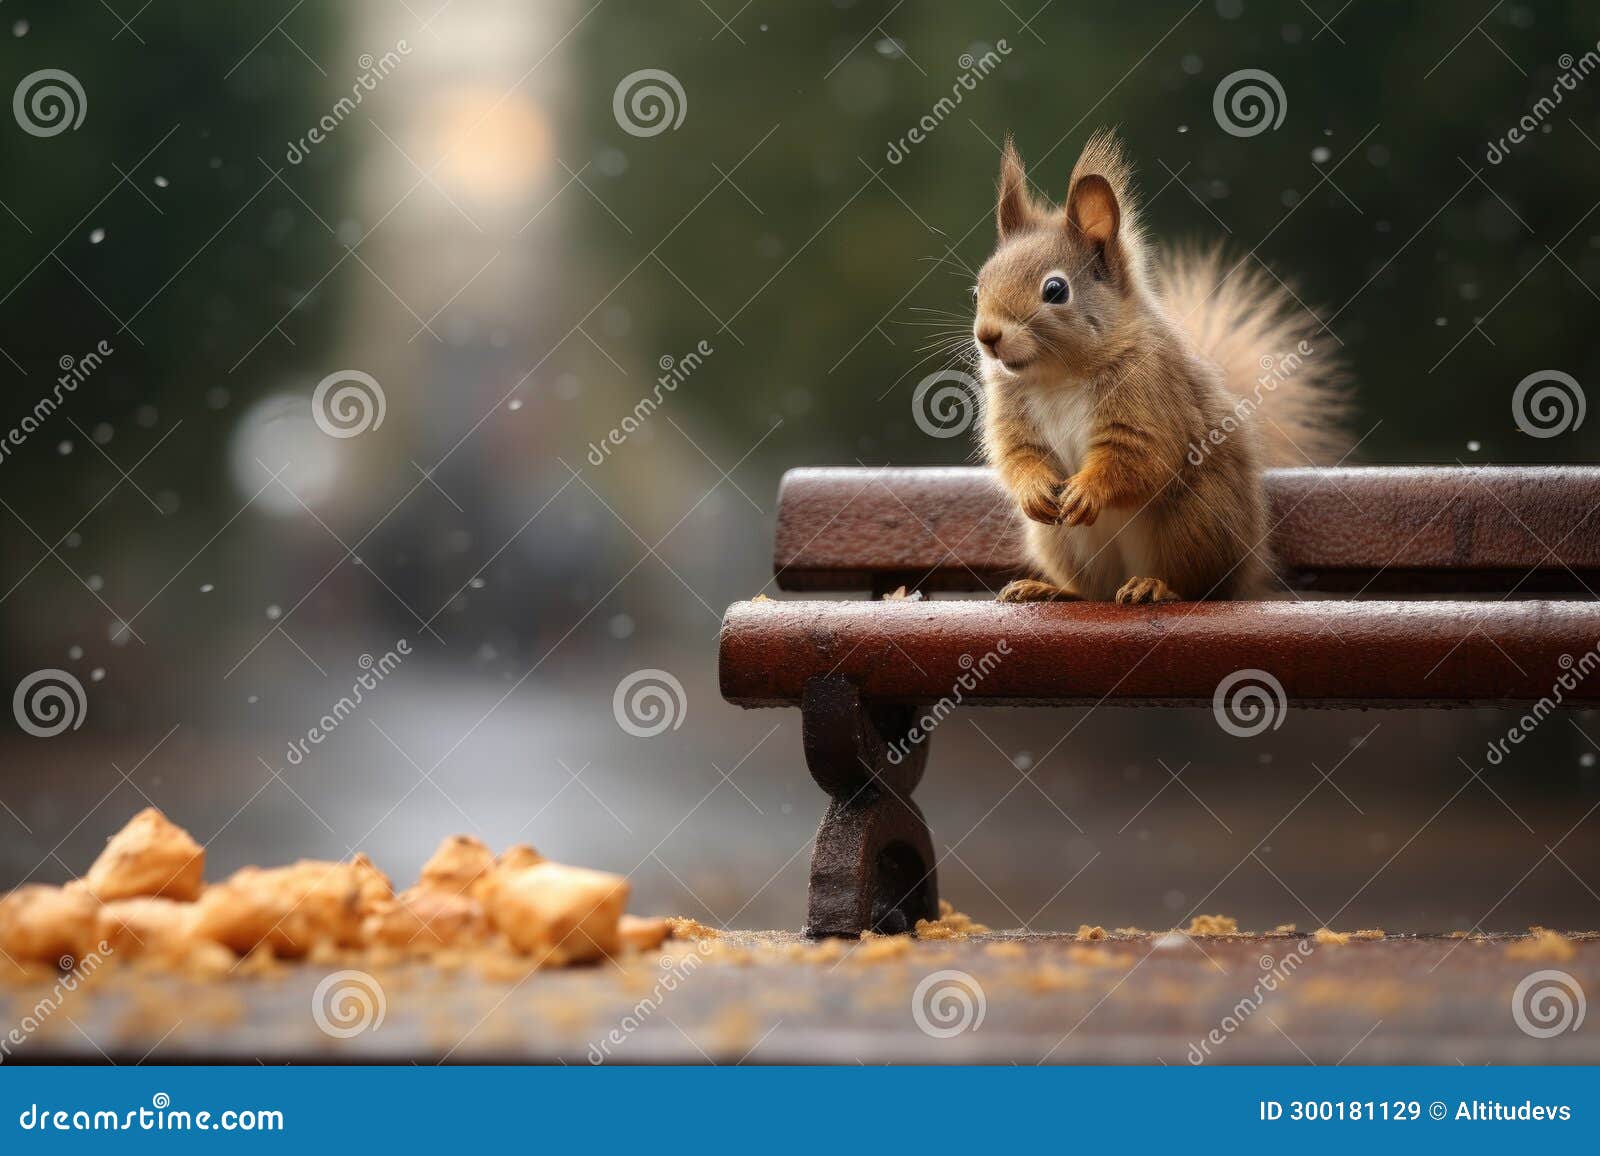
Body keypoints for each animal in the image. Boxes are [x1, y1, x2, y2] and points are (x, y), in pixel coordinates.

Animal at [972, 129, 1347, 604]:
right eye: (979, 285)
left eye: (1055, 290)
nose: (987, 335)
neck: (1059, 377)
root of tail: (1250, 568)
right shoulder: (1013, 412)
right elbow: (1018, 454)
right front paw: (1034, 488)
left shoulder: (1151, 395)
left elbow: (1139, 456)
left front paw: (1087, 491)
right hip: (1060, 541)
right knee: (1092, 591)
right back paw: (1049, 590)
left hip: (1193, 521)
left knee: (1197, 585)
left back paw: (1155, 586)